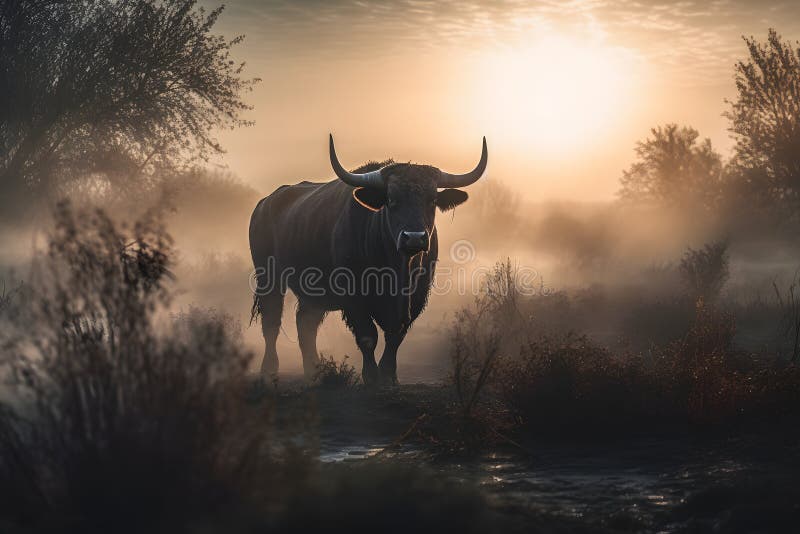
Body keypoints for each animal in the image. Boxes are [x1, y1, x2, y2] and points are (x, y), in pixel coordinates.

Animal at [249, 135, 487, 385]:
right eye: (391, 200)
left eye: (431, 200)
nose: (414, 238)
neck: (396, 269)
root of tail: (266, 203)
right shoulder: (353, 295)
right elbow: (367, 335)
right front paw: (371, 376)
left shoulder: (417, 295)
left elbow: (396, 336)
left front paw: (389, 375)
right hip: (268, 277)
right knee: (271, 322)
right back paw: (269, 370)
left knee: (306, 323)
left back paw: (314, 371)